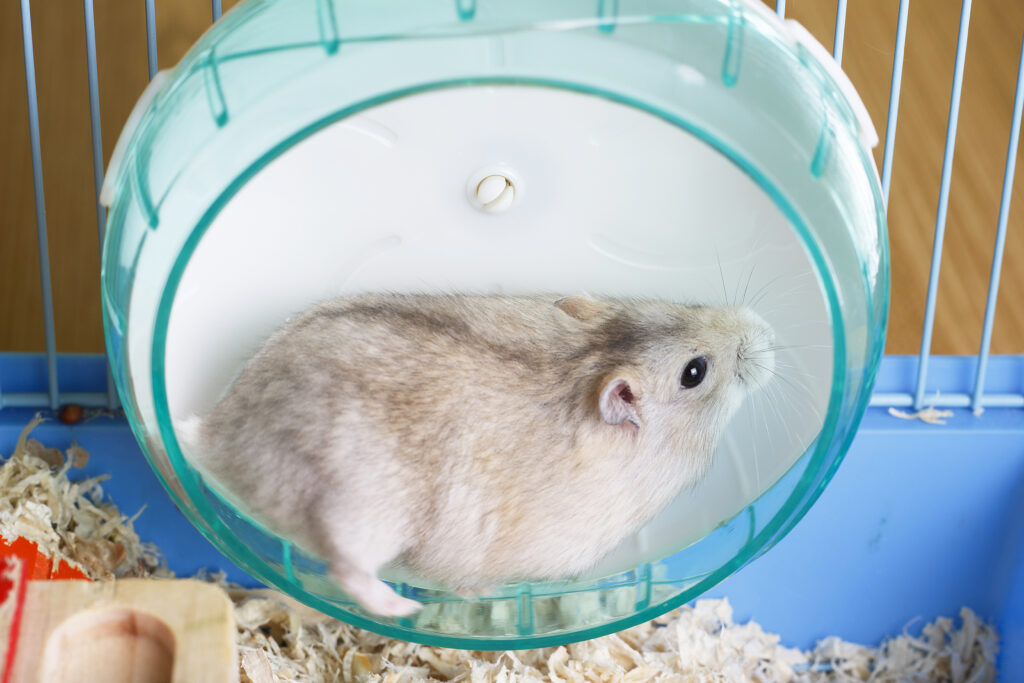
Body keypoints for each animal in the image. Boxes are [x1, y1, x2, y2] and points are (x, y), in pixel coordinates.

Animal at [178, 293, 775, 617]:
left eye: (684, 305)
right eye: (695, 372)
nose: (769, 332)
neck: (585, 362)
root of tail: (216, 435)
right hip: (359, 512)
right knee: (347, 570)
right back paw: (409, 606)